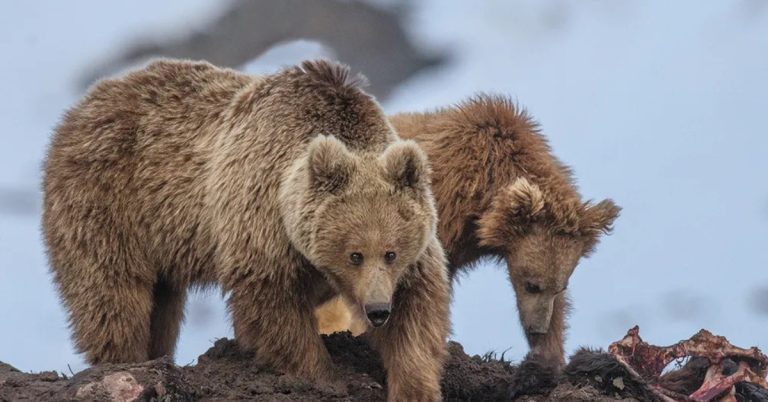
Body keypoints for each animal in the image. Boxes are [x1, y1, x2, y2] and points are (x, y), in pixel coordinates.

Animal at [42, 59, 450, 401]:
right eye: (355, 254)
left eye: (391, 252)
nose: (378, 310)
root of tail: (85, 103)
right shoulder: (261, 217)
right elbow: (272, 306)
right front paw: (324, 375)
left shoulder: (412, 257)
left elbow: (418, 311)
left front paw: (413, 385)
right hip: (109, 202)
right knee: (114, 294)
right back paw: (126, 360)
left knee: (163, 304)